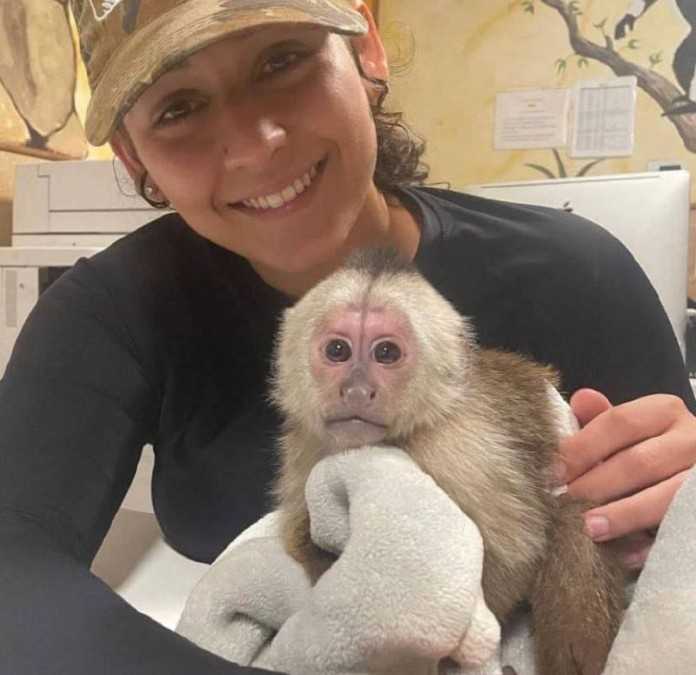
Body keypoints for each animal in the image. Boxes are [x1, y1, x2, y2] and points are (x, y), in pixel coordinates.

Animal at [269, 248, 625, 675]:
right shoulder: (307, 446)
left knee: (573, 514)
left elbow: (510, 557)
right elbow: (298, 533)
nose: (356, 391)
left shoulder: (459, 448)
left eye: (386, 353)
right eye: (337, 350)